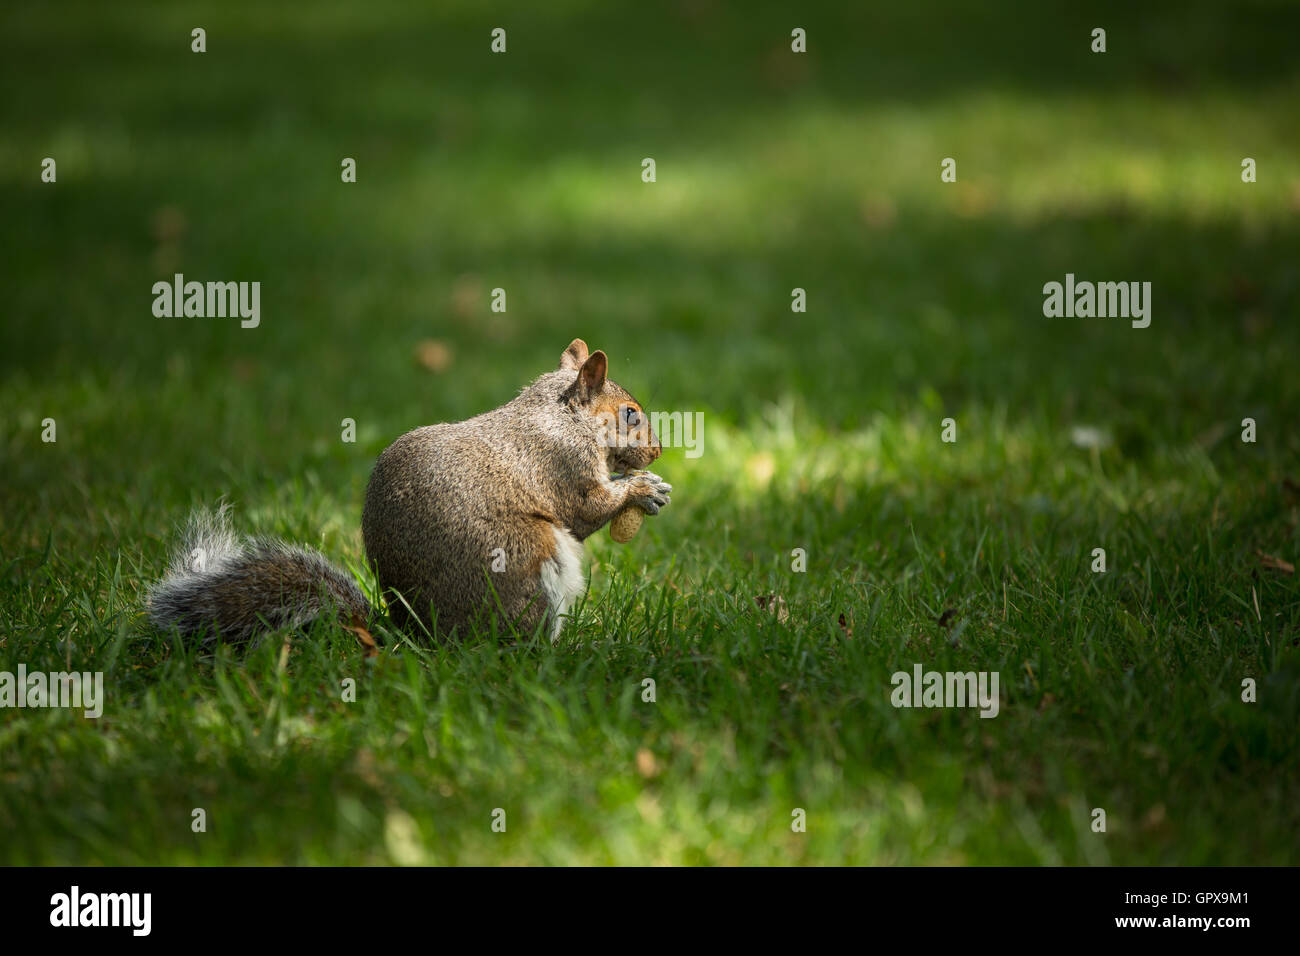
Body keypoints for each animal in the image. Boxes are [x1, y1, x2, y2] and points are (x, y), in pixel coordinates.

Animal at [146, 339, 672, 645]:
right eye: (629, 414)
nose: (659, 451)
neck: (561, 416)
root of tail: (422, 633)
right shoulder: (564, 466)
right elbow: (587, 510)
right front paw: (642, 489)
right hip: (531, 561)